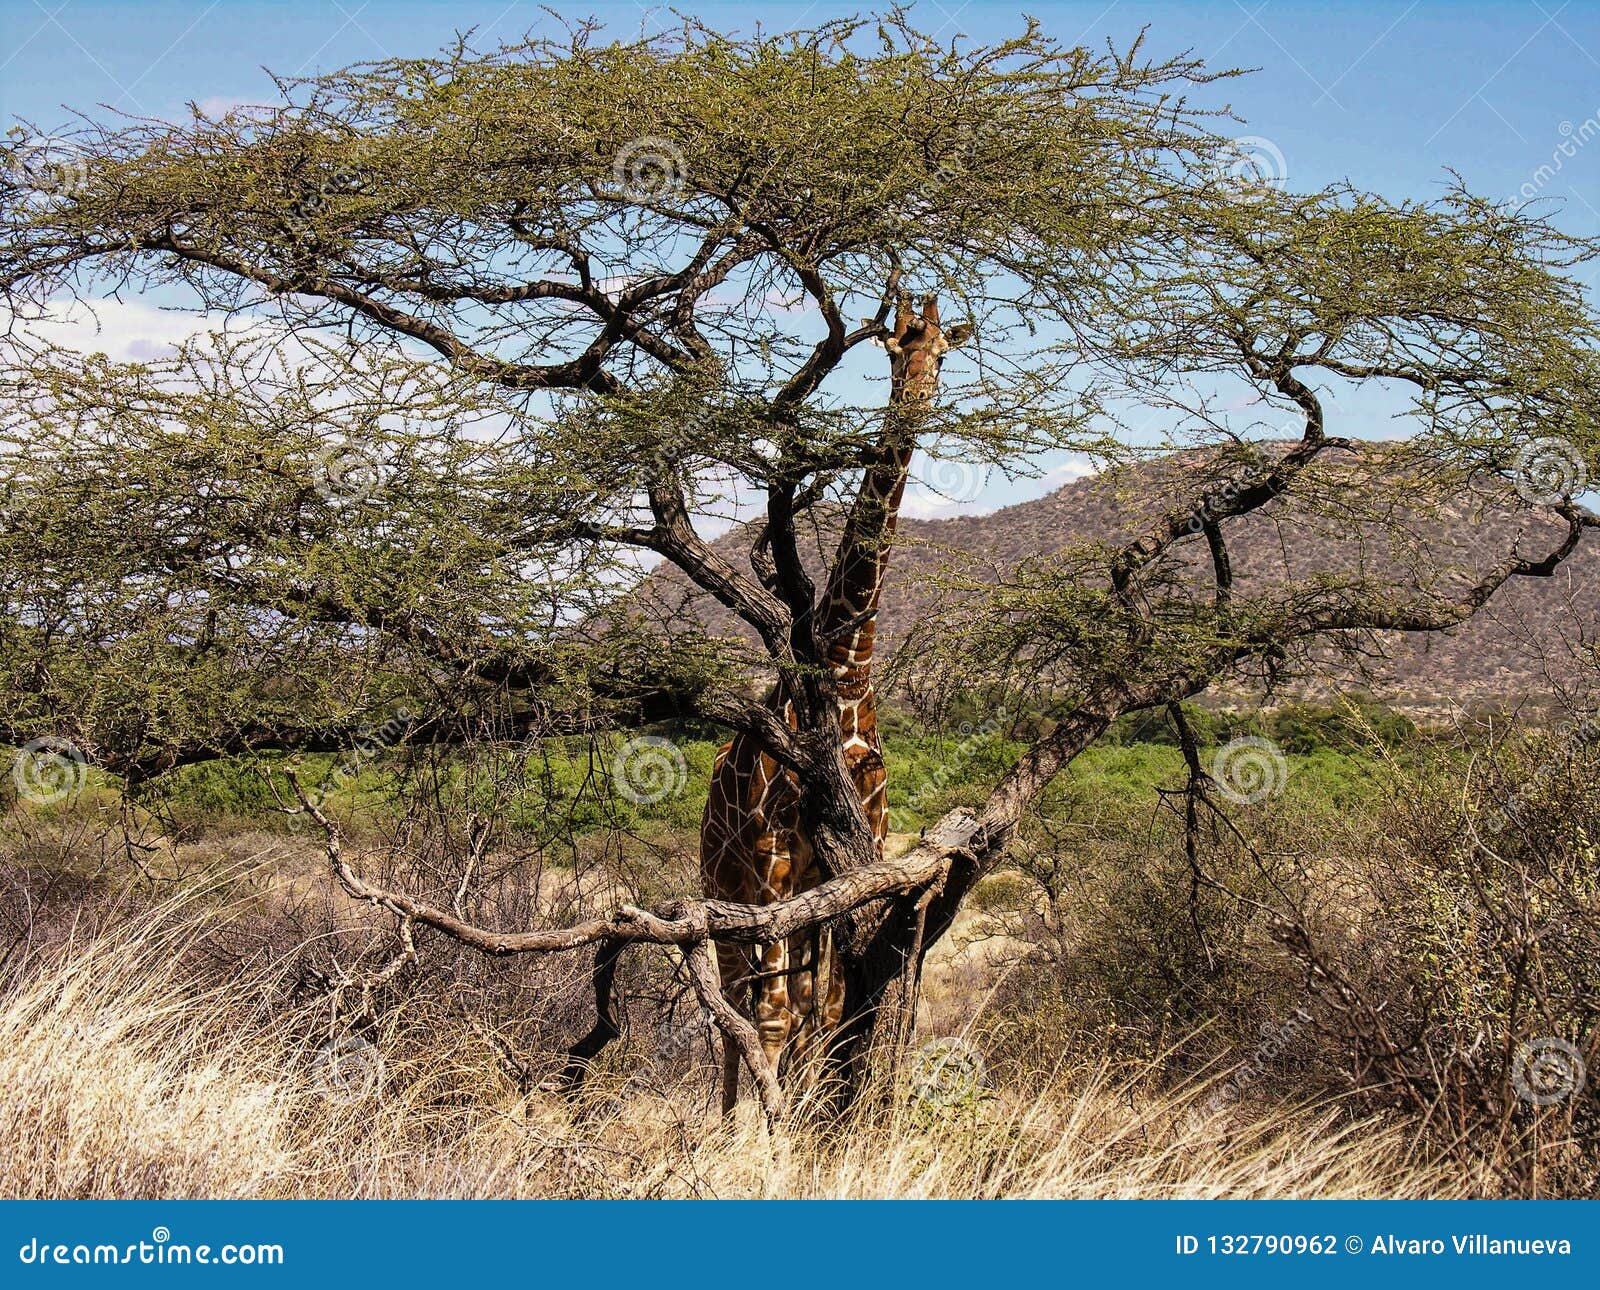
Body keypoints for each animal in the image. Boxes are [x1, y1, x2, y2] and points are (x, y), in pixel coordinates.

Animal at [699, 294, 973, 1113]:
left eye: (943, 351)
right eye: (896, 345)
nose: (918, 390)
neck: (849, 677)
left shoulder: (861, 850)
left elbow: (827, 1009)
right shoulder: (775, 859)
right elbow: (775, 1017)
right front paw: (765, 1137)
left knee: (789, 1001)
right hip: (728, 890)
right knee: (739, 1009)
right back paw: (728, 1120)